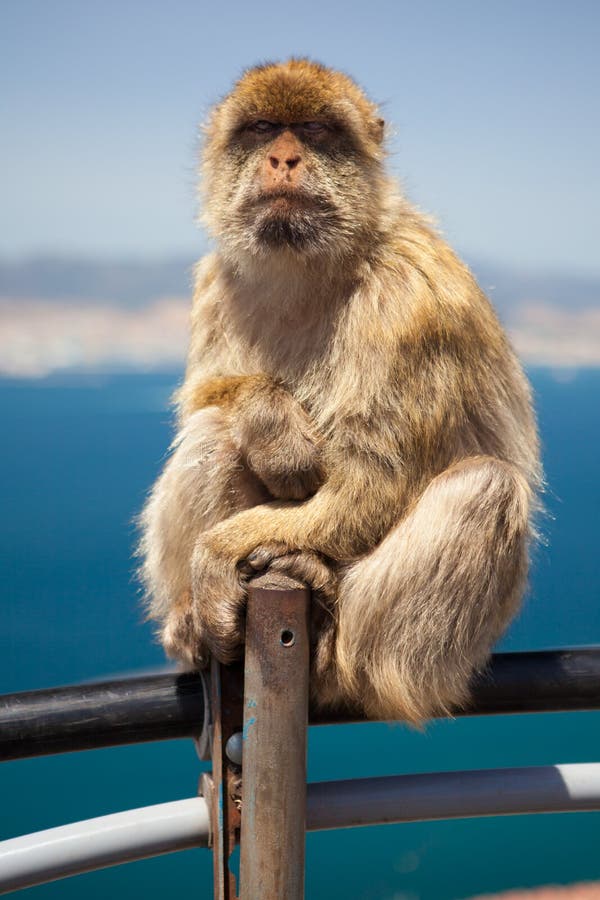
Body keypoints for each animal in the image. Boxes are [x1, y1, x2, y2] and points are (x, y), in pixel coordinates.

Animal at [138, 59, 542, 724]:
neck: (312, 265)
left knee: (486, 488)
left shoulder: (411, 301)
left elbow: (374, 482)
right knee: (214, 432)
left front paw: (218, 551)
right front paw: (271, 425)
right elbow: (204, 394)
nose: (284, 158)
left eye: (317, 130)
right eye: (262, 127)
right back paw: (192, 625)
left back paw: (337, 645)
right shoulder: (216, 279)